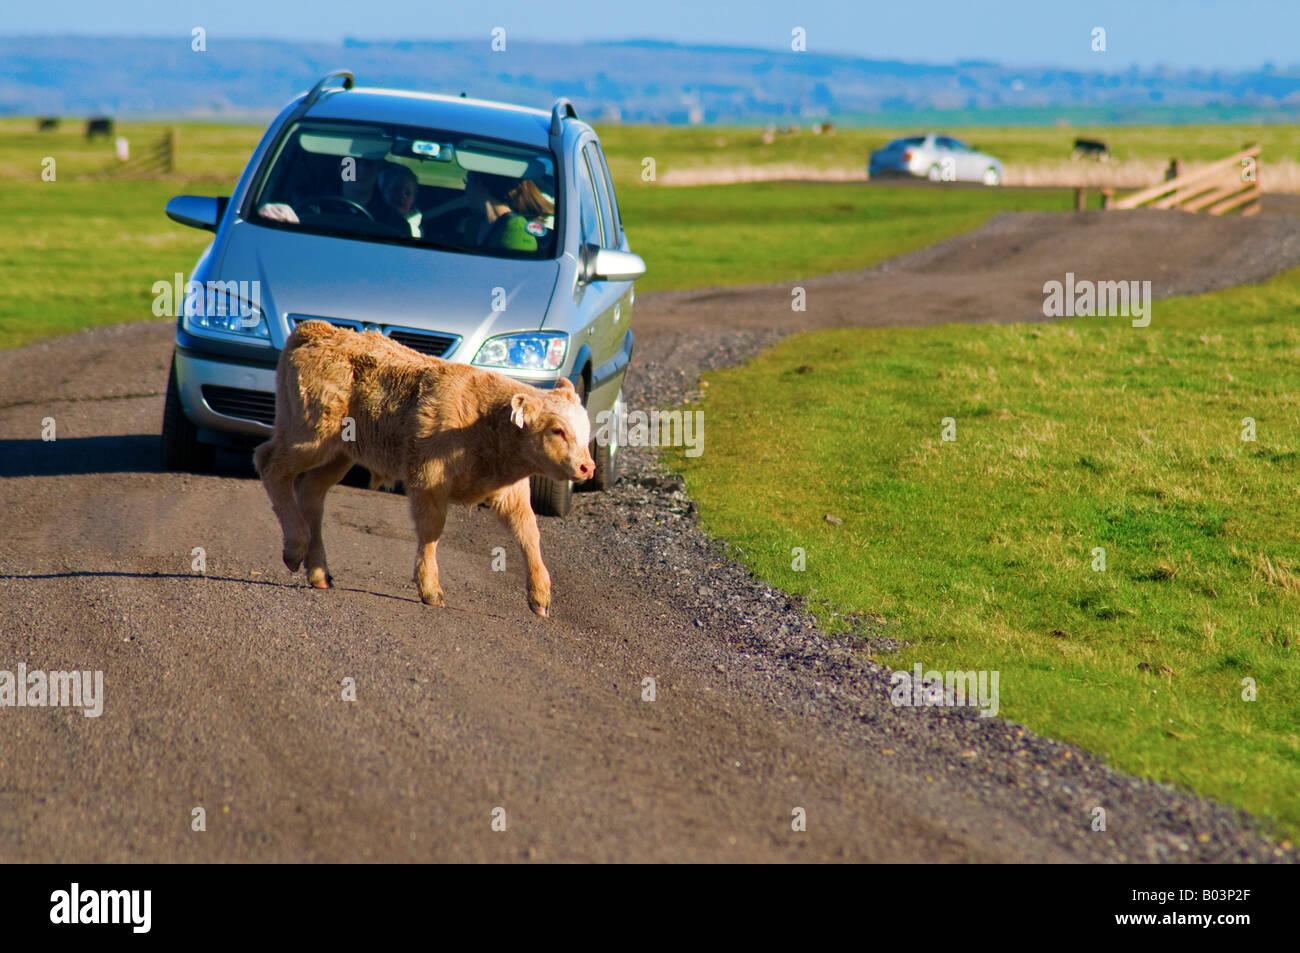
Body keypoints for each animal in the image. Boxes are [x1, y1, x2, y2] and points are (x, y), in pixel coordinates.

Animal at [253, 321, 594, 617]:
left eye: (586, 430)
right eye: (557, 430)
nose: (587, 467)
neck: (481, 418)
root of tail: (316, 329)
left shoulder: (512, 494)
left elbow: (528, 534)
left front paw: (540, 597)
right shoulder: (428, 482)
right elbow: (431, 531)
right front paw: (430, 589)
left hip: (338, 453)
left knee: (311, 491)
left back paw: (319, 571)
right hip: (309, 436)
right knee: (270, 466)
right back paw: (295, 547)